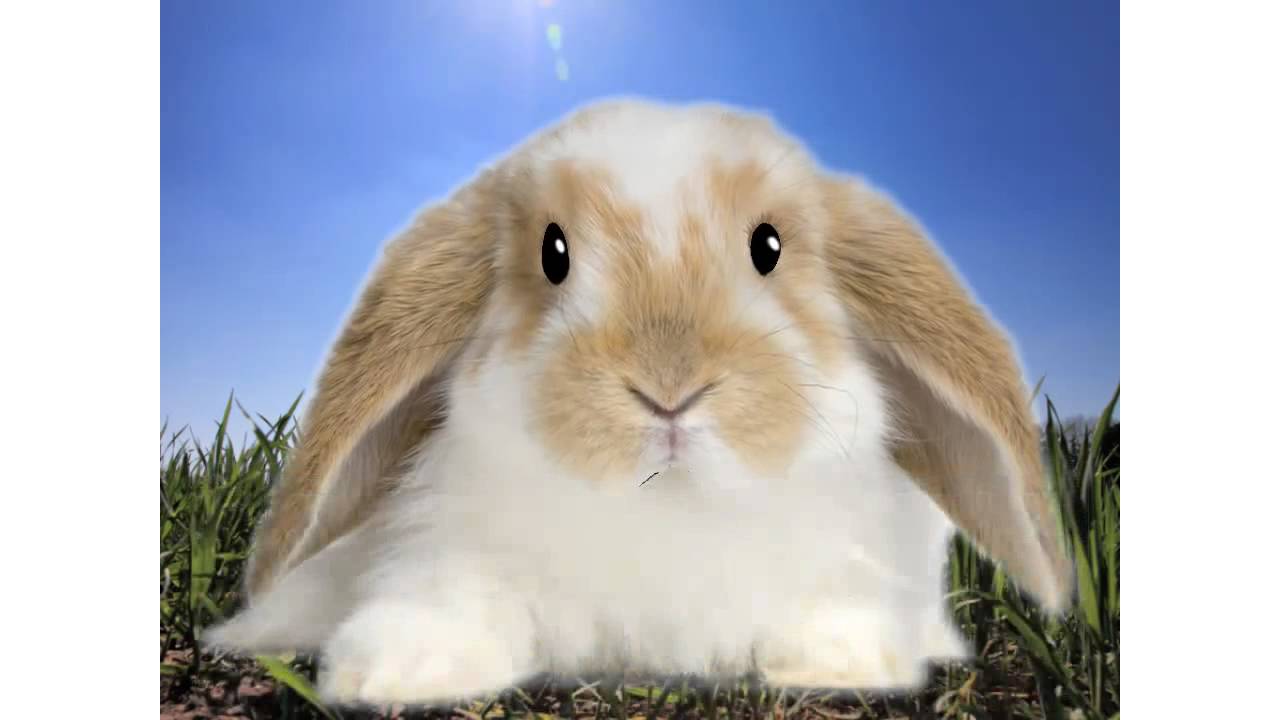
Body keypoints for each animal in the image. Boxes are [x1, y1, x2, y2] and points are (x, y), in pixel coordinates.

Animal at [205, 98, 1073, 706]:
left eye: (769, 246)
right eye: (552, 252)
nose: (669, 387)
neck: (668, 507)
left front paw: (839, 660)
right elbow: (451, 600)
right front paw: (396, 669)